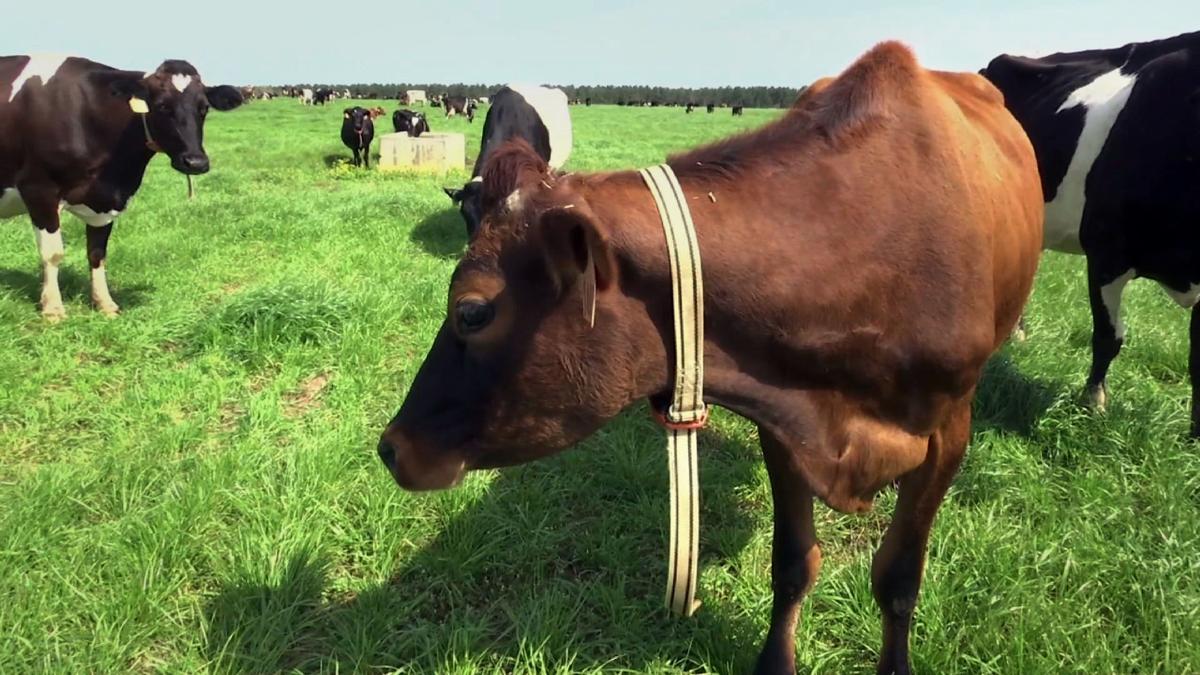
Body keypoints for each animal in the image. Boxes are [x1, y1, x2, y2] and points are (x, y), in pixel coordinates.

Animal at [0, 55, 243, 320]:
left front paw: (105, 303)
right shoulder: (38, 188)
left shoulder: (105, 201)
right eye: (162, 106)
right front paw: (53, 308)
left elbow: (97, 253)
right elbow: (53, 254)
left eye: (204, 108)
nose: (196, 162)